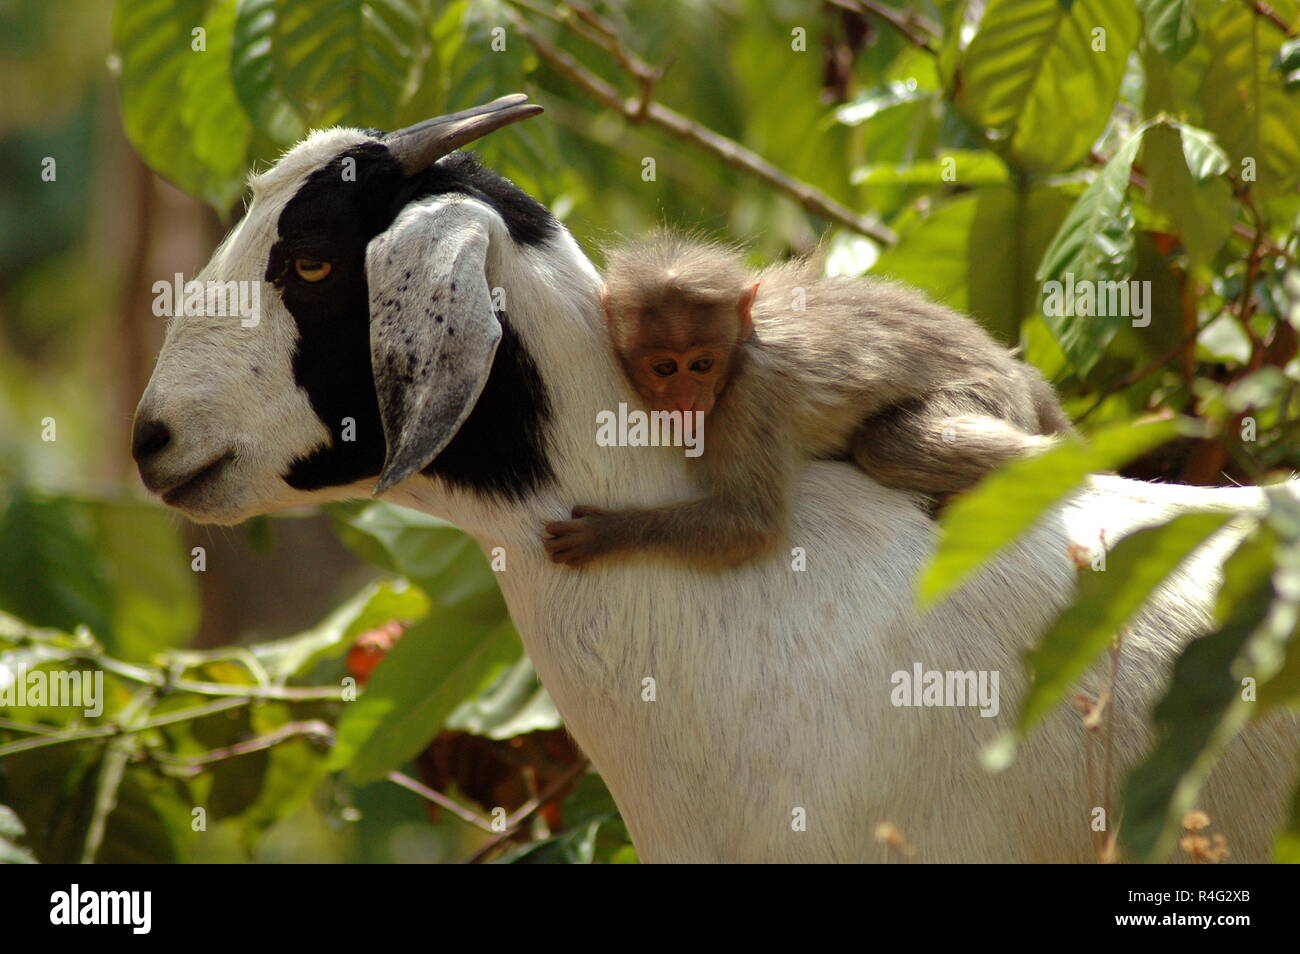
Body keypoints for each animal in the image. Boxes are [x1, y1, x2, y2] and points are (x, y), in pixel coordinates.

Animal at [542, 233, 1071, 569]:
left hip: (990, 394)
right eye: (665, 369)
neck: (741, 348)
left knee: (887, 447)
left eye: (702, 364)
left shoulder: (754, 391)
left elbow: (750, 525)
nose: (688, 397)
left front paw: (609, 535)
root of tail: (1014, 370)